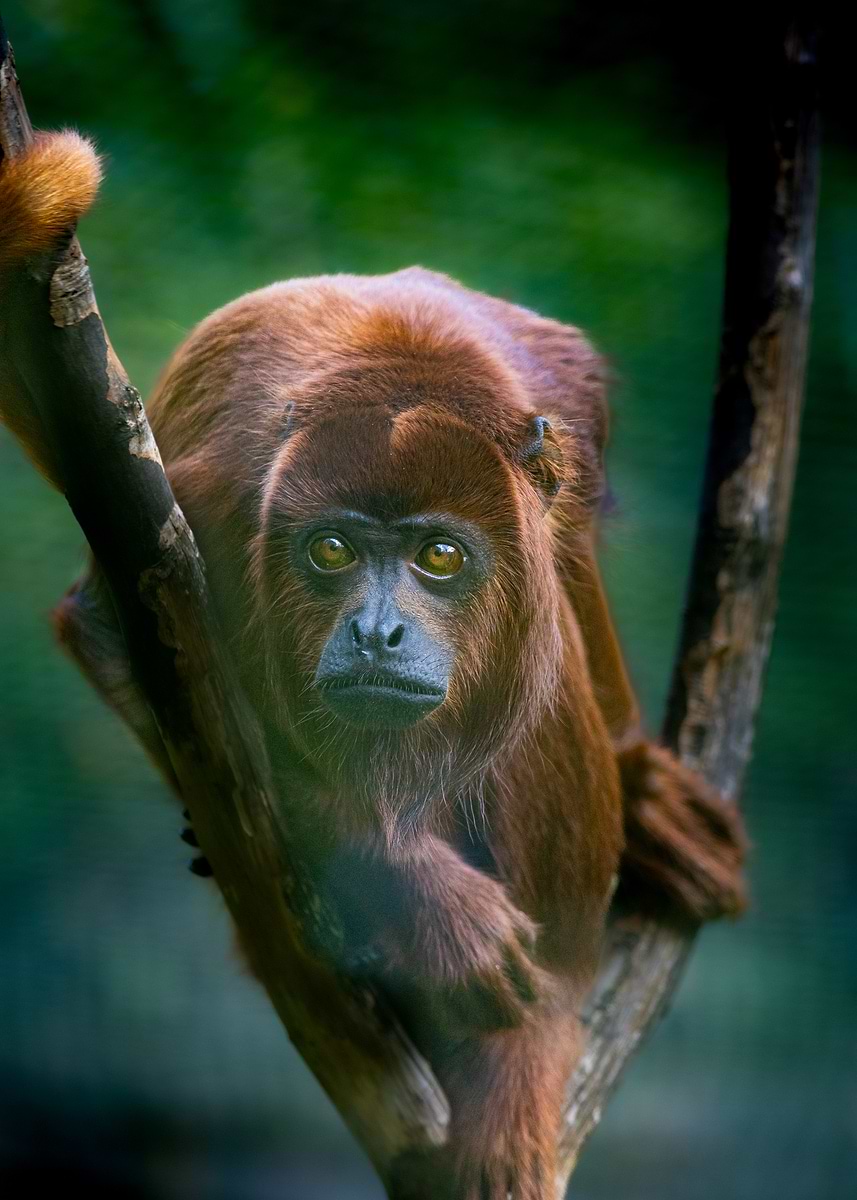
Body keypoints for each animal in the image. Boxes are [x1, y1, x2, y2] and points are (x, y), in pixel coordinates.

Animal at [0, 132, 746, 1199]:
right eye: (331, 552)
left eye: (439, 556)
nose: (378, 633)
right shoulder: (213, 500)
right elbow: (119, 635)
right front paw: (416, 895)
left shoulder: (560, 441)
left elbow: (564, 593)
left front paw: (638, 793)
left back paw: (539, 1026)